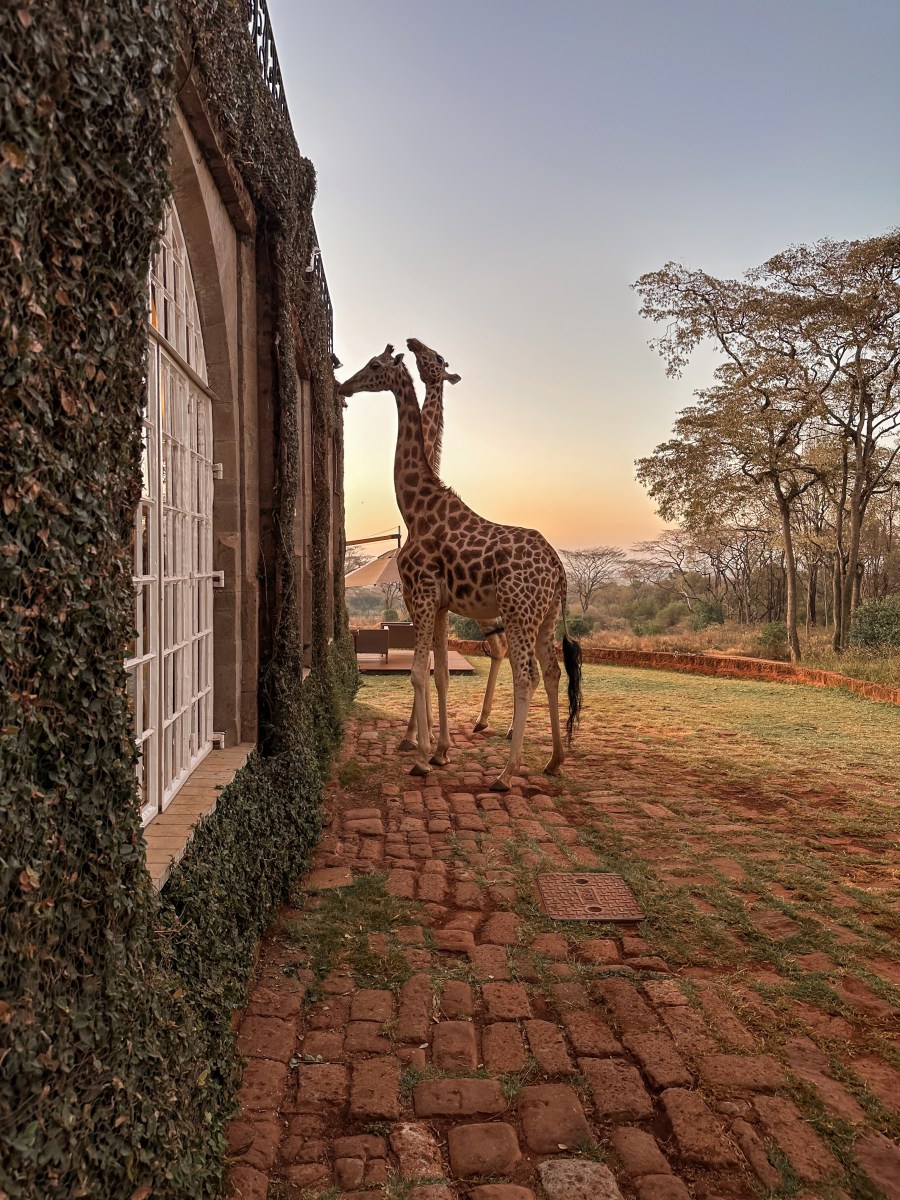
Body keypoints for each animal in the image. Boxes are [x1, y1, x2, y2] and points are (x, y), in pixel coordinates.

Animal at [339, 345, 582, 791]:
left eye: (375, 366)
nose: (344, 385)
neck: (417, 508)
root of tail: (558, 571)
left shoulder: (419, 593)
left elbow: (417, 673)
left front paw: (420, 756)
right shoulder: (439, 603)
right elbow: (439, 674)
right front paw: (438, 750)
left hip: (518, 613)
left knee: (526, 675)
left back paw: (506, 771)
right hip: (544, 618)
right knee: (553, 671)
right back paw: (554, 760)